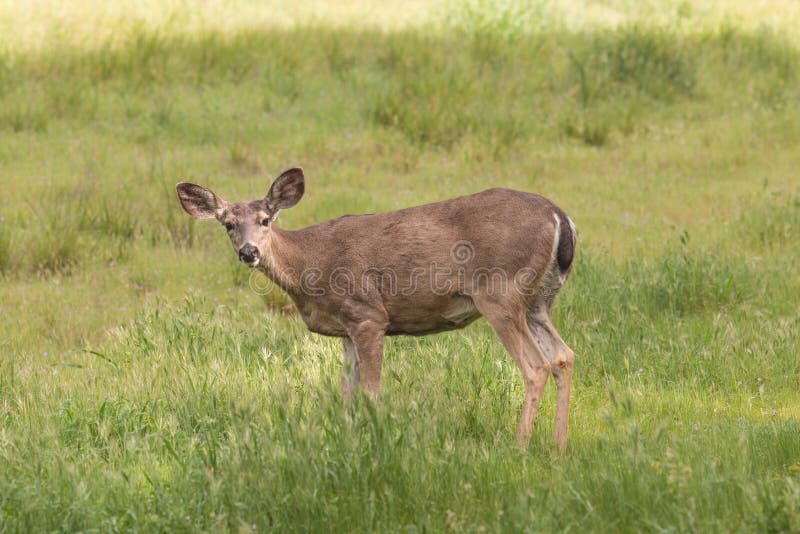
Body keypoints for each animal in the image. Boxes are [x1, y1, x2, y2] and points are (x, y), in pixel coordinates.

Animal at [177, 168, 577, 451]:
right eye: (228, 224)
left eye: (265, 220)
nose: (249, 252)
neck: (309, 265)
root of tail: (561, 217)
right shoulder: (346, 328)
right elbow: (347, 393)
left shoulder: (368, 314)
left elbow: (370, 392)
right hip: (538, 301)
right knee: (563, 355)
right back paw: (558, 448)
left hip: (500, 292)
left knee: (535, 365)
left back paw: (519, 446)